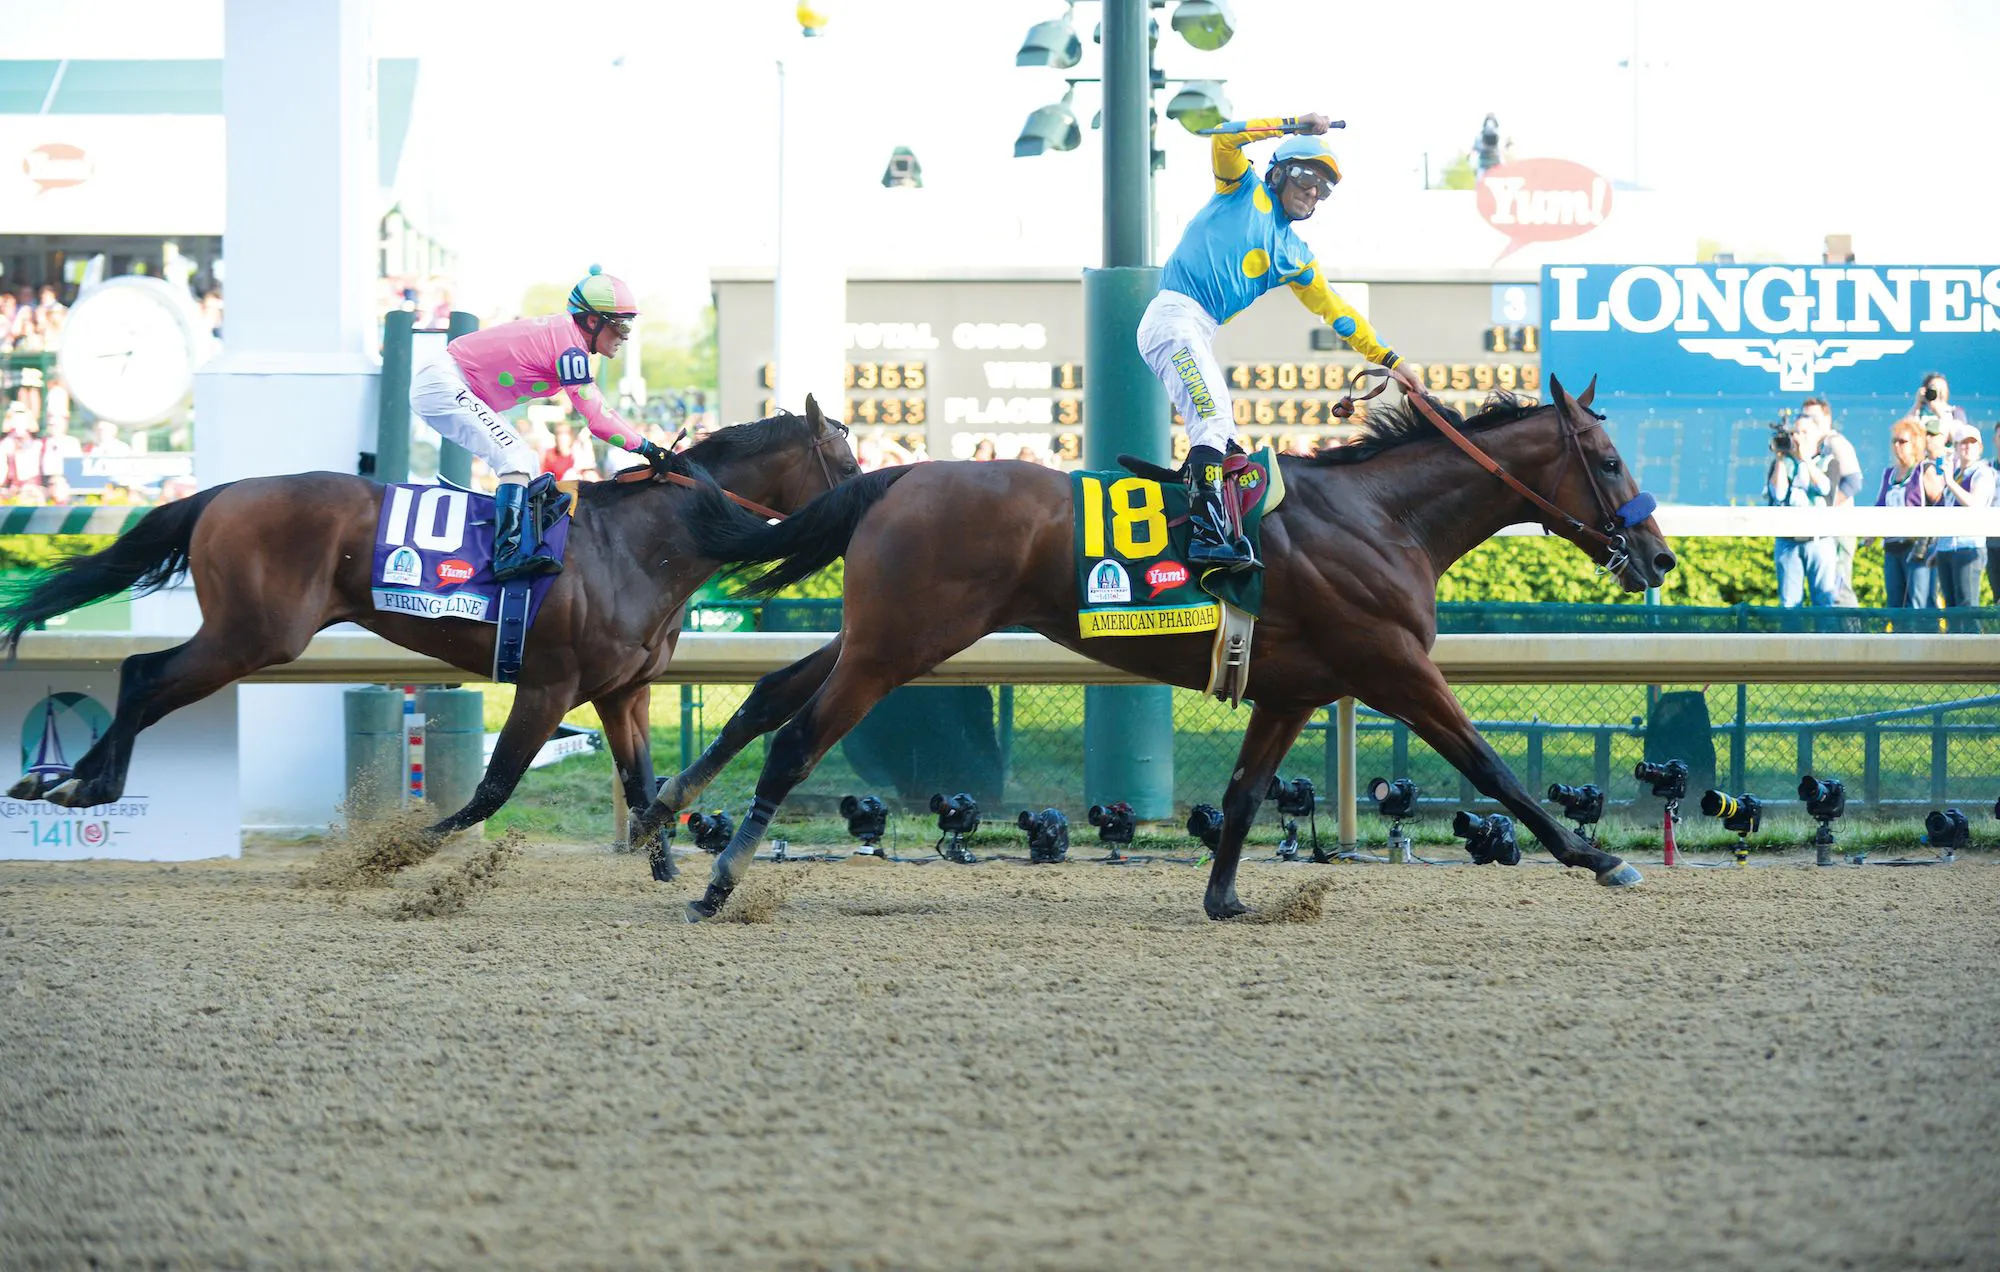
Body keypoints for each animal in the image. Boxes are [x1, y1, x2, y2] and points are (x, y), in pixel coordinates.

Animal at [0, 398, 860, 861]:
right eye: (849, 468)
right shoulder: (549, 684)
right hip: (254, 636)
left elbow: (644, 785)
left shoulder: (624, 693)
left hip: (248, 635)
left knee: (142, 675)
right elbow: (493, 788)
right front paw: (400, 852)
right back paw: (86, 782)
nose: (873, 511)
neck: (644, 543)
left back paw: (66, 779)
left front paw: (667, 870)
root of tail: (222, 492)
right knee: (144, 673)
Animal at [645, 376, 1677, 921]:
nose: (1661, 554)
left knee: (768, 695)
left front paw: (1225, 897)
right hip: (897, 646)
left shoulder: (1293, 689)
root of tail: (900, 476)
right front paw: (1597, 857)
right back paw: (717, 882)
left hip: (880, 634)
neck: (1382, 517)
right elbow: (1491, 766)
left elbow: (1247, 791)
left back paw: (667, 803)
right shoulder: (1396, 667)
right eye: (1610, 459)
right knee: (794, 737)